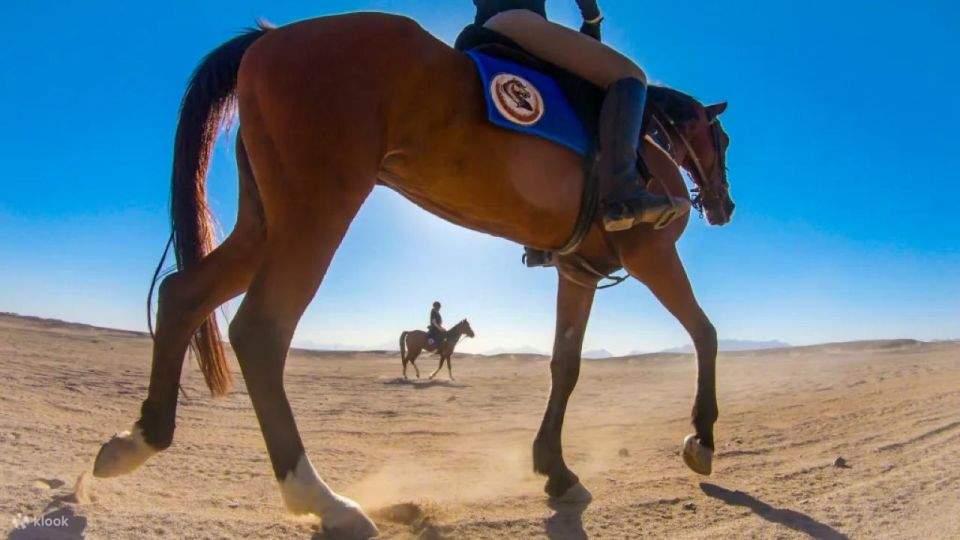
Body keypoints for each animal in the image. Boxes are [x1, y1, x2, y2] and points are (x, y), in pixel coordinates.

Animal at [92, 13, 733, 538]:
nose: (724, 206)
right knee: (260, 331)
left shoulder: (576, 273)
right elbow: (705, 332)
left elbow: (565, 366)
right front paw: (701, 439)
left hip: (264, 222)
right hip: (316, 212)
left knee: (183, 294)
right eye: (722, 139)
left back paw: (137, 441)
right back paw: (322, 500)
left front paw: (555, 469)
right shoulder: (652, 255)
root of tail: (271, 37)